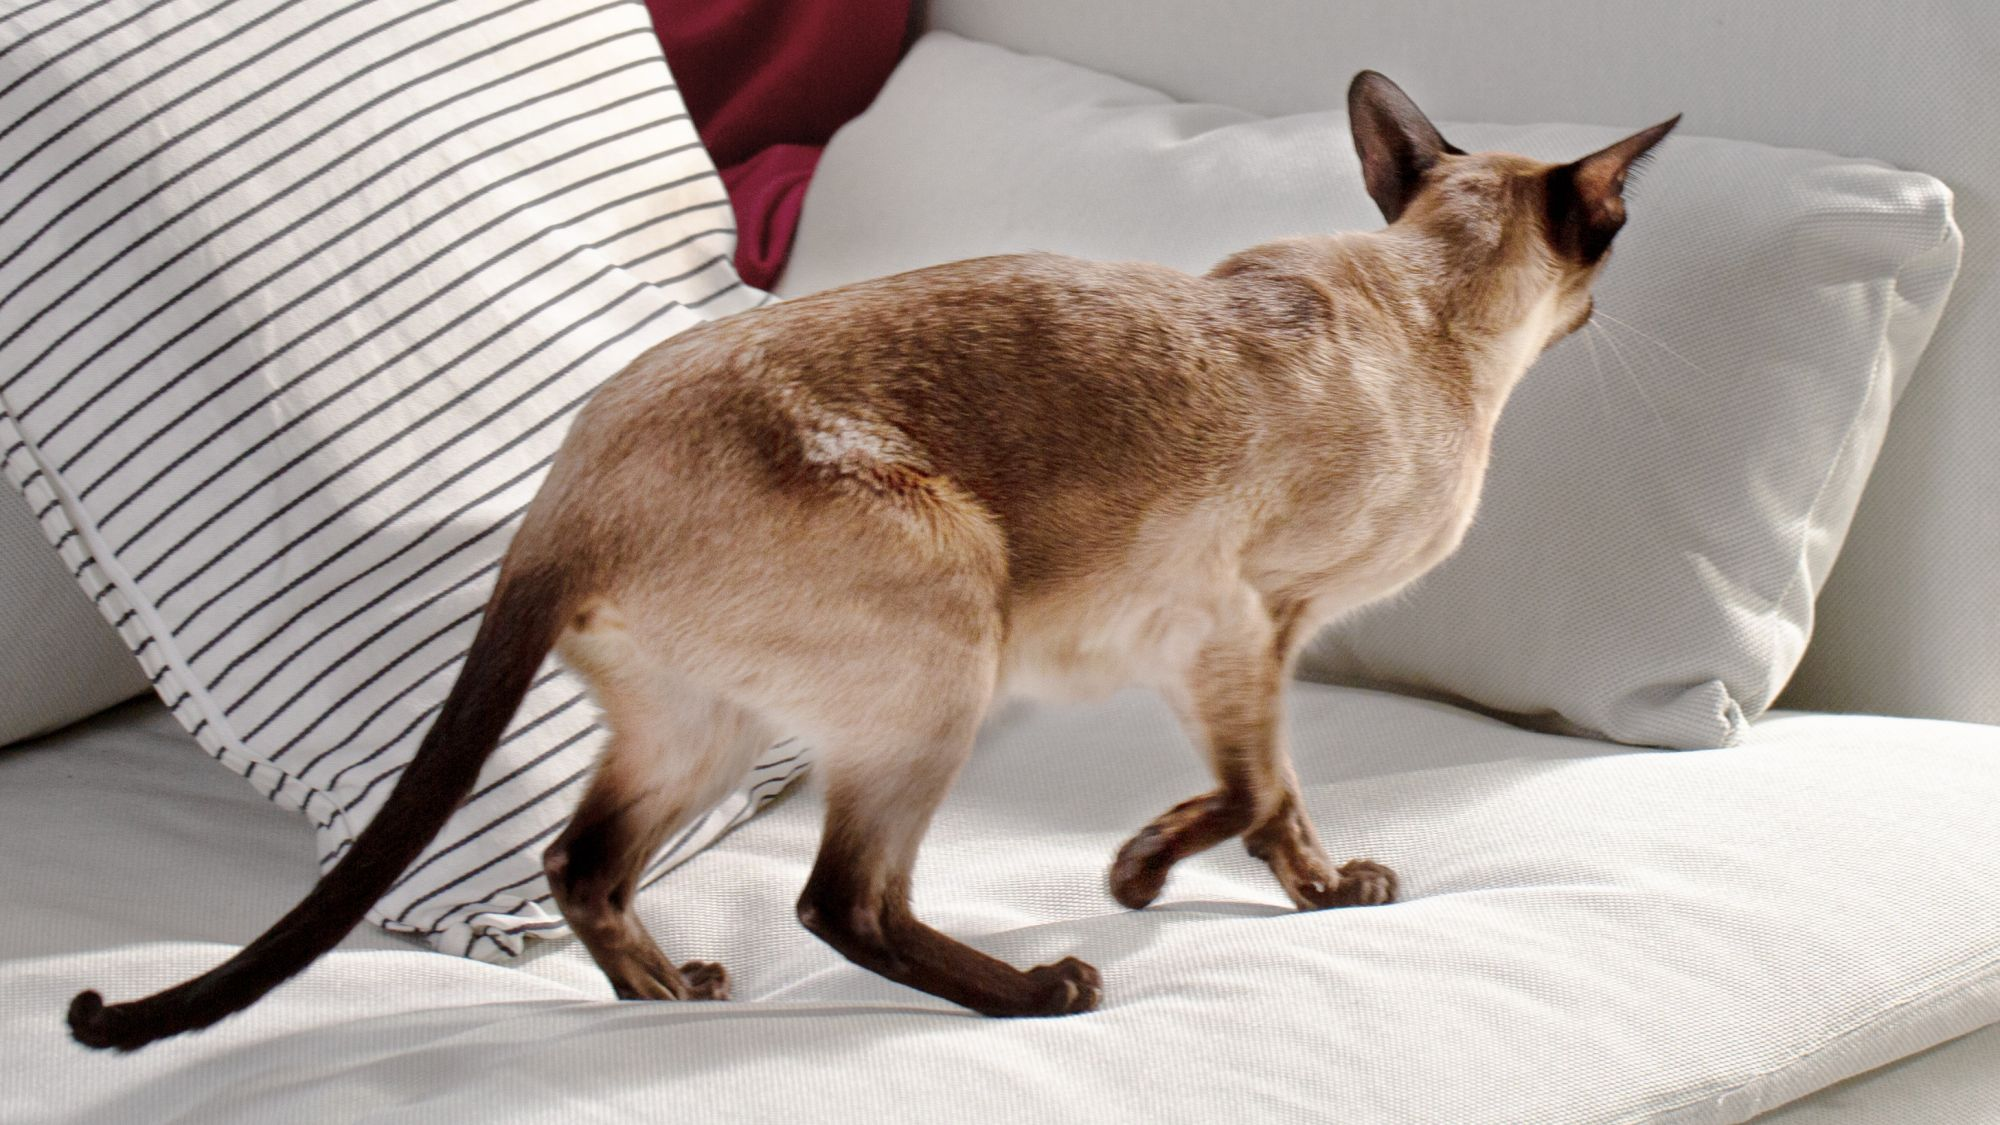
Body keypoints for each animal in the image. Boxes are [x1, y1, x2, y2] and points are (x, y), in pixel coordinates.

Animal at [70, 74, 1672, 1048]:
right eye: (1611, 242)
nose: (1609, 313)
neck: (1427, 316)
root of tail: (561, 496)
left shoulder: (1217, 645)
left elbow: (1251, 798)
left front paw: (1218, 877)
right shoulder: (1234, 621)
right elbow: (1256, 792)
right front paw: (1180, 886)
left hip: (708, 728)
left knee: (583, 861)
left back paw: (672, 993)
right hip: (943, 644)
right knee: (843, 902)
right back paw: (1042, 990)